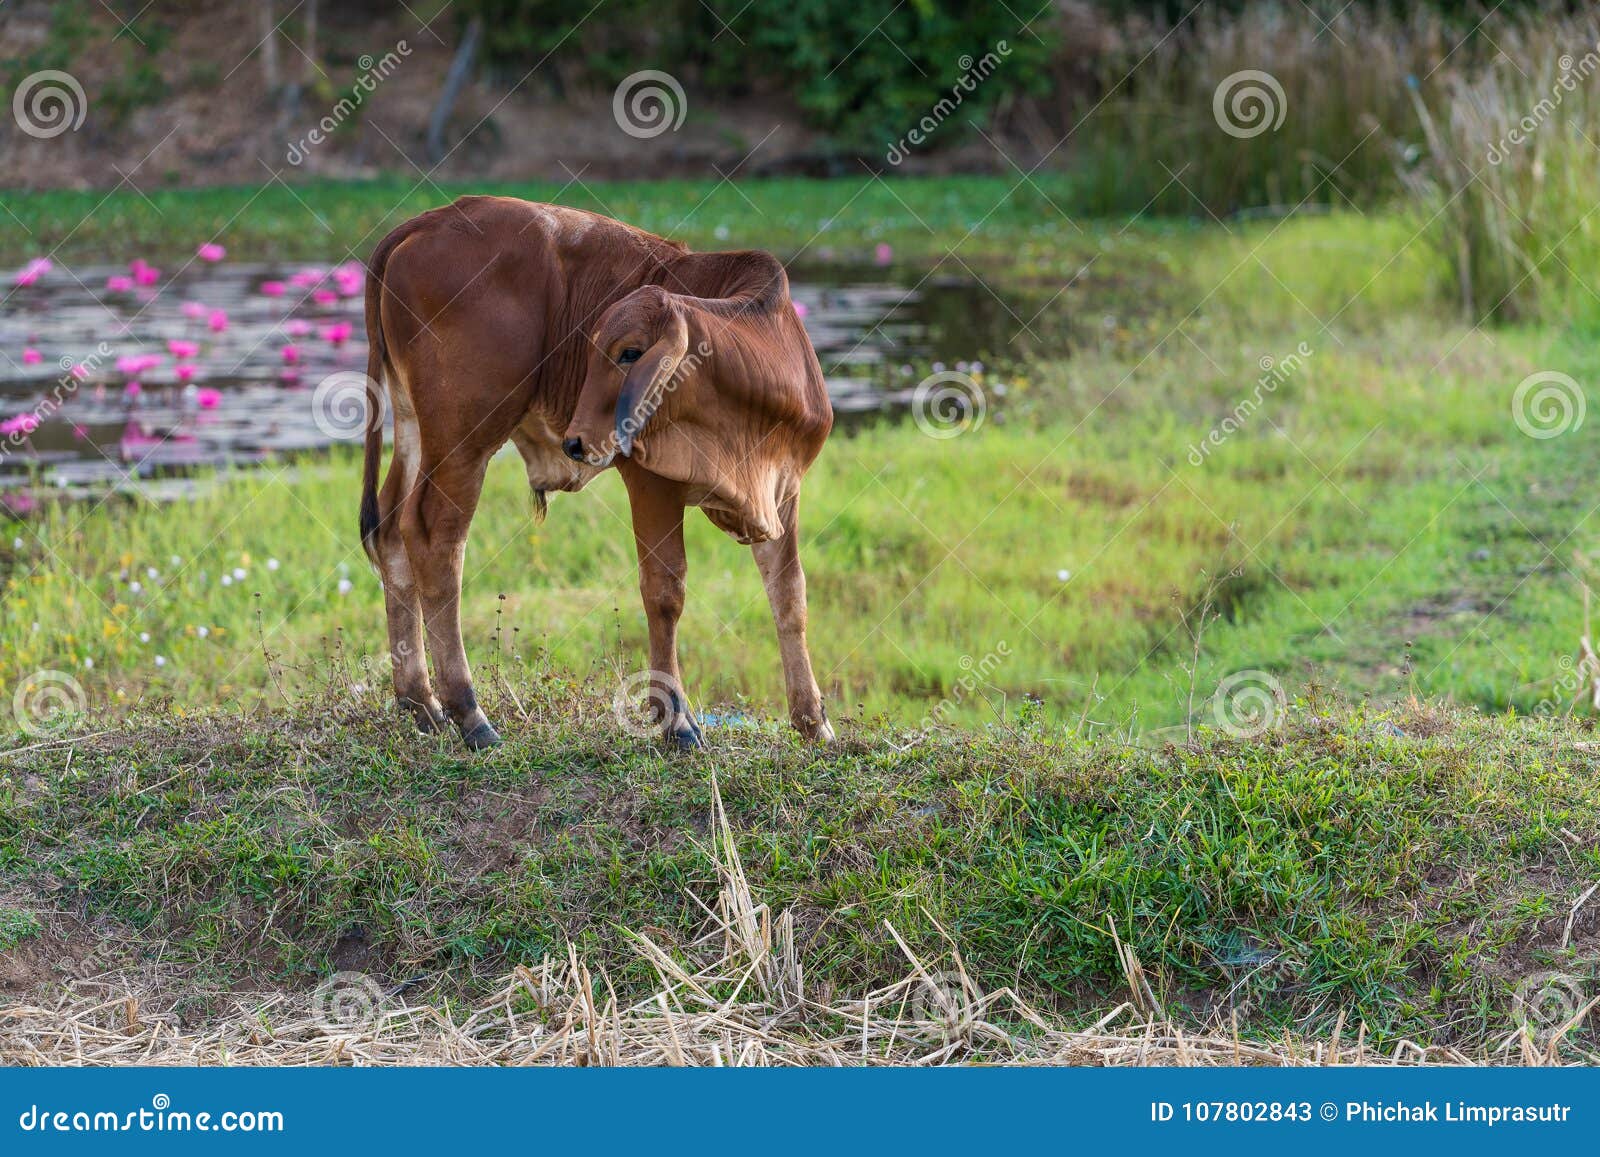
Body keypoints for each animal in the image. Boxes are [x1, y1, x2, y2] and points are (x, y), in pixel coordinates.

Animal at [359, 196, 835, 751]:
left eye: (629, 353)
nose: (576, 441)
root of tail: (428, 220)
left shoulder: (784, 492)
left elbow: (790, 594)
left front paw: (813, 721)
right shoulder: (652, 482)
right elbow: (665, 591)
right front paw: (675, 720)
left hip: (416, 430)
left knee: (391, 529)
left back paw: (420, 701)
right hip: (464, 440)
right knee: (435, 538)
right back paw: (469, 711)